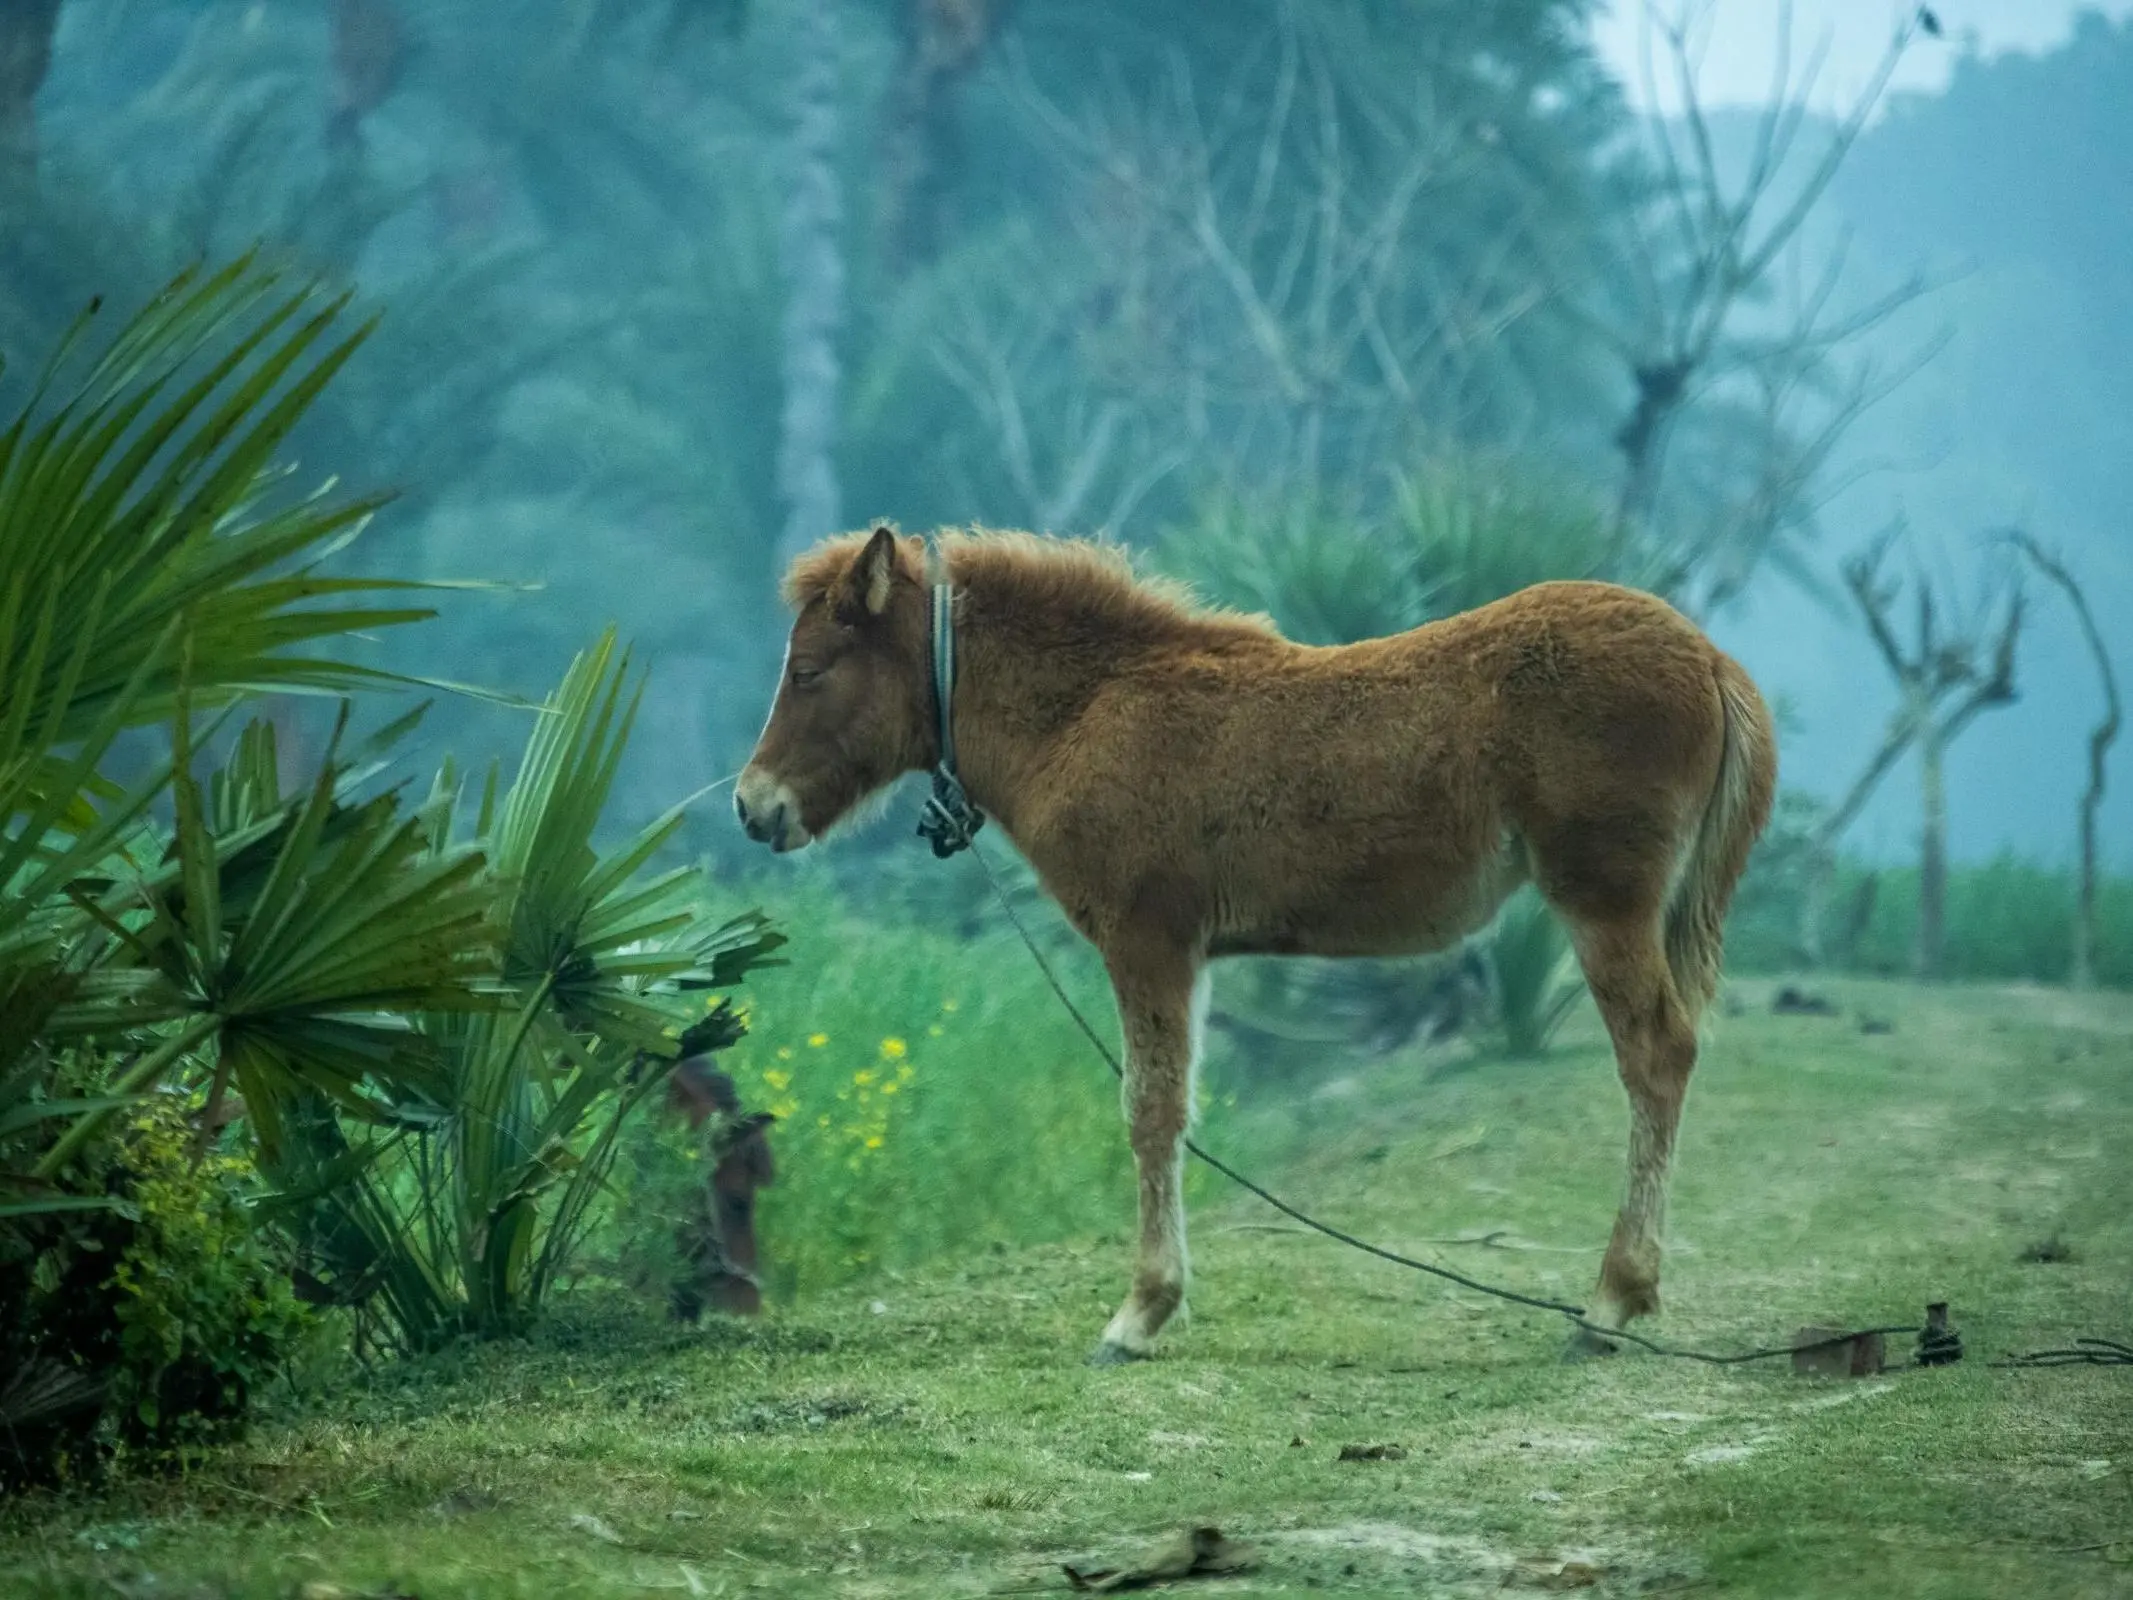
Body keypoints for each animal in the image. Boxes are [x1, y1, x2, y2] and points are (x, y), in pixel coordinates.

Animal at [736, 525, 1776, 1364]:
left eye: (809, 670)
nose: (754, 808)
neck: (1090, 709)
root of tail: (1713, 658)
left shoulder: (1148, 939)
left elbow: (1151, 1111)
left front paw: (1140, 1314)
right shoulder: (1188, 954)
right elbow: (1173, 1108)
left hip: (1603, 900)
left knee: (1655, 1054)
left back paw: (1610, 1300)